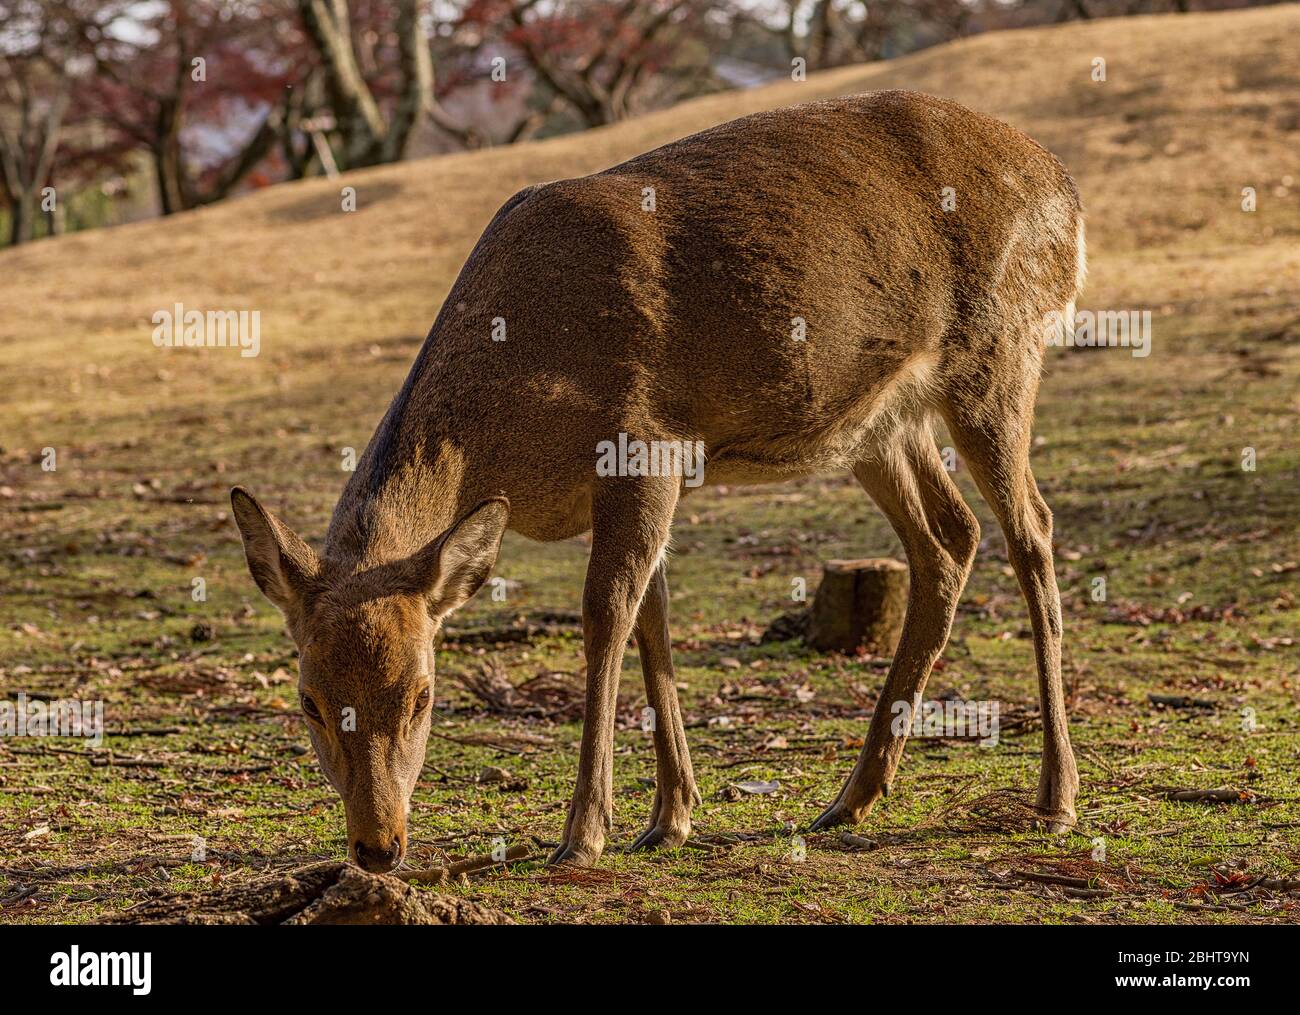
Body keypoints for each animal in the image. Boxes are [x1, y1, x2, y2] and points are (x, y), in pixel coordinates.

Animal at [231, 90, 1083, 872]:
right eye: (308, 700)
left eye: (423, 695)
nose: (378, 846)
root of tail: (1064, 191)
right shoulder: (636, 482)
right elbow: (653, 618)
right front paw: (671, 813)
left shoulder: (643, 445)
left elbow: (607, 616)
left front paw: (584, 831)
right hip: (878, 422)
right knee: (949, 535)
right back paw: (851, 795)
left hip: (1001, 353)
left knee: (1032, 529)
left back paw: (1056, 793)